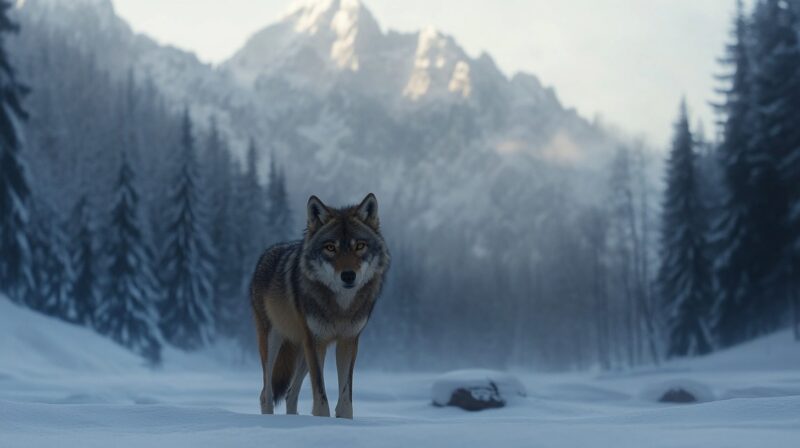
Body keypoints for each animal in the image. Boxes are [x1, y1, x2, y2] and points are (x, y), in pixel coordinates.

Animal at [250, 193, 390, 418]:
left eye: (359, 246)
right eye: (330, 247)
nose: (348, 275)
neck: (341, 307)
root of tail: (267, 254)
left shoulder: (348, 342)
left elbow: (345, 398)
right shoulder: (316, 342)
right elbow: (320, 396)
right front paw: (323, 422)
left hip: (303, 352)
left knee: (290, 394)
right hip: (274, 341)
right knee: (266, 394)